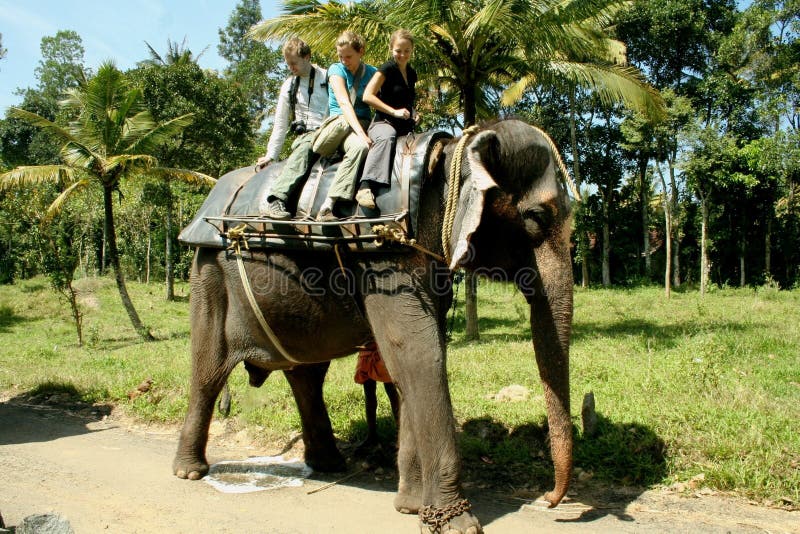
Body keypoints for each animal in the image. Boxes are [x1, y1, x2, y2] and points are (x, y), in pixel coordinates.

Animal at [173, 119, 574, 533]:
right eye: (537, 218)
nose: (549, 499)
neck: (447, 157)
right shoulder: (384, 257)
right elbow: (417, 355)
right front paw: (456, 524)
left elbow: (413, 361)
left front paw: (411, 508)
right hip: (209, 273)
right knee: (209, 370)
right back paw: (190, 472)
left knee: (306, 375)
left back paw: (329, 465)